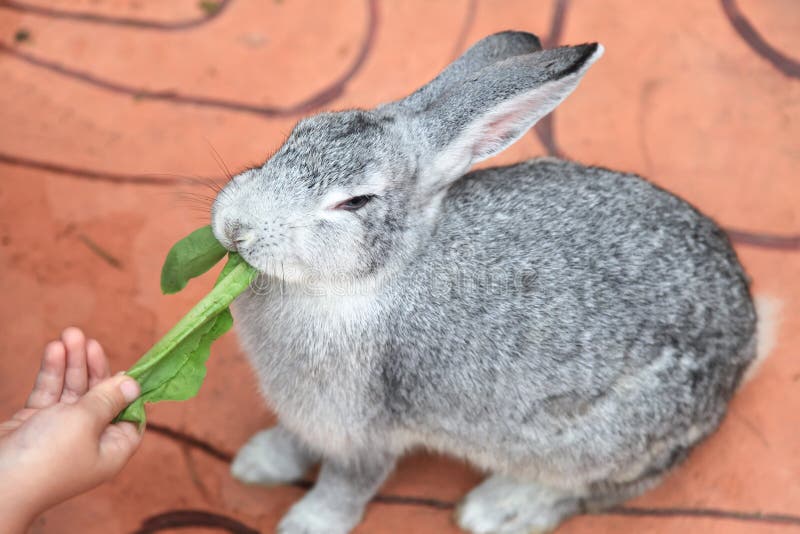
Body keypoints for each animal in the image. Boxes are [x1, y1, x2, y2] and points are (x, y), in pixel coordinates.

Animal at [211, 31, 758, 534]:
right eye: (296, 134)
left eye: (356, 202)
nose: (236, 228)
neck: (376, 277)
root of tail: (744, 349)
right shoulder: (307, 416)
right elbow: (292, 441)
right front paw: (256, 463)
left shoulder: (361, 429)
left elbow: (346, 484)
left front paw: (306, 523)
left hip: (603, 443)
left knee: (591, 491)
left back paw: (497, 510)